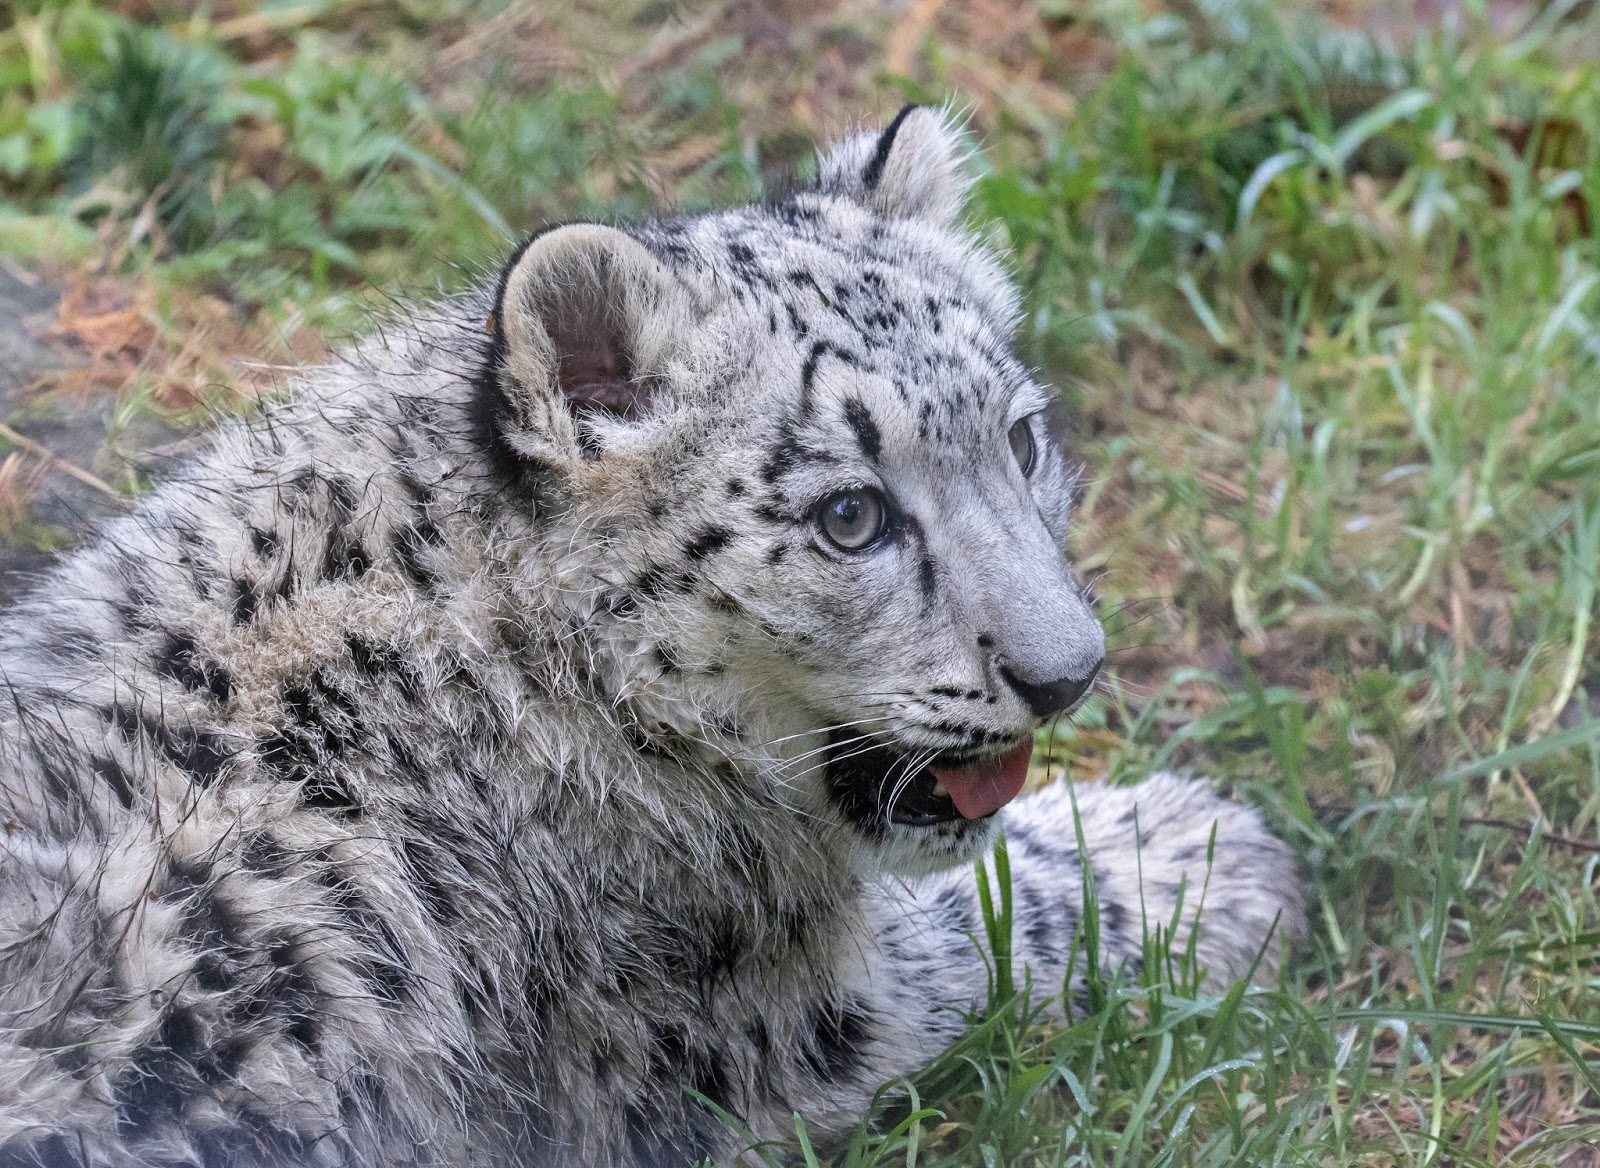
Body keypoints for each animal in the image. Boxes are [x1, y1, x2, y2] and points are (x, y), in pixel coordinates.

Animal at [0, 105, 1303, 1167]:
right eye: (849, 516)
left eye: (1021, 439)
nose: (1067, 673)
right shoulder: (761, 1019)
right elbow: (988, 915)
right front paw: (1204, 852)